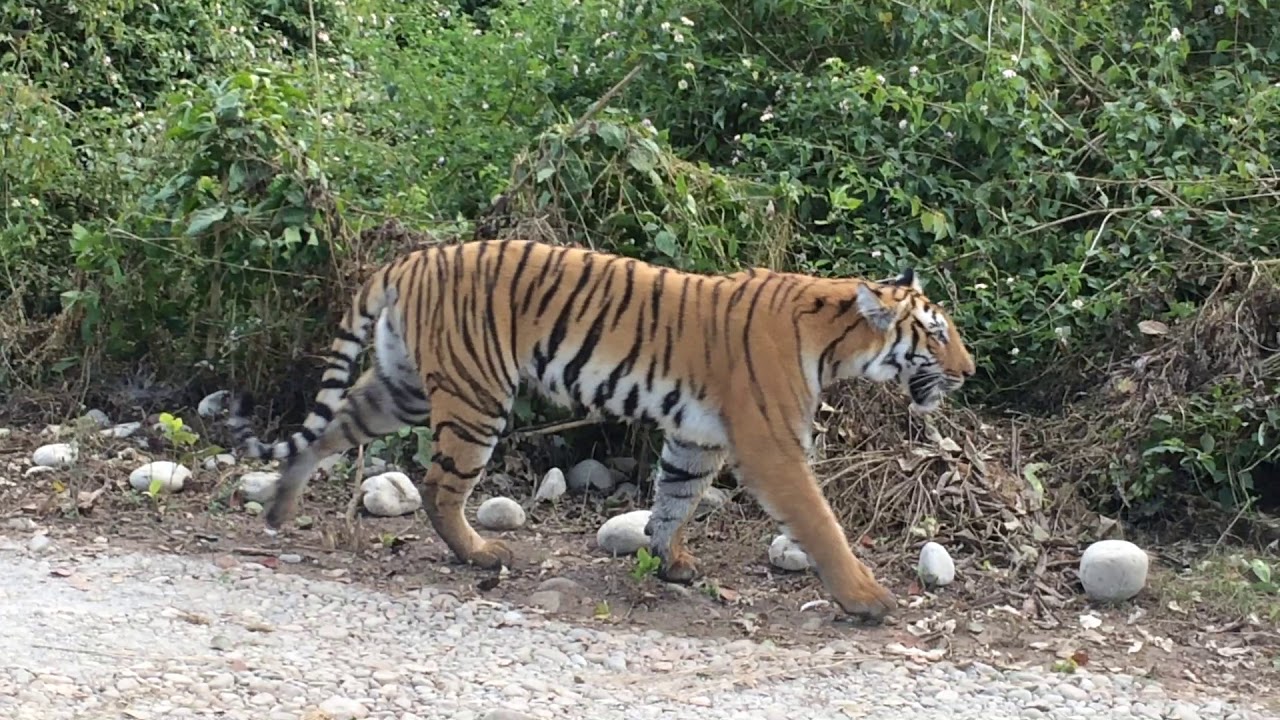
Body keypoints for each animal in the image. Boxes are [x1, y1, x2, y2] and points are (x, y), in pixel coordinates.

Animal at [225, 238, 975, 622]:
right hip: (476, 393)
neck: (835, 342)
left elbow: (674, 499)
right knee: (440, 484)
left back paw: (280, 505)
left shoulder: (697, 437)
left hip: (405, 386)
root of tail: (409, 258)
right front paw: (867, 598)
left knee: (336, 425)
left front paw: (670, 563)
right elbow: (820, 524)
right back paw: (481, 554)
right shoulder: (772, 449)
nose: (969, 373)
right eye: (937, 334)